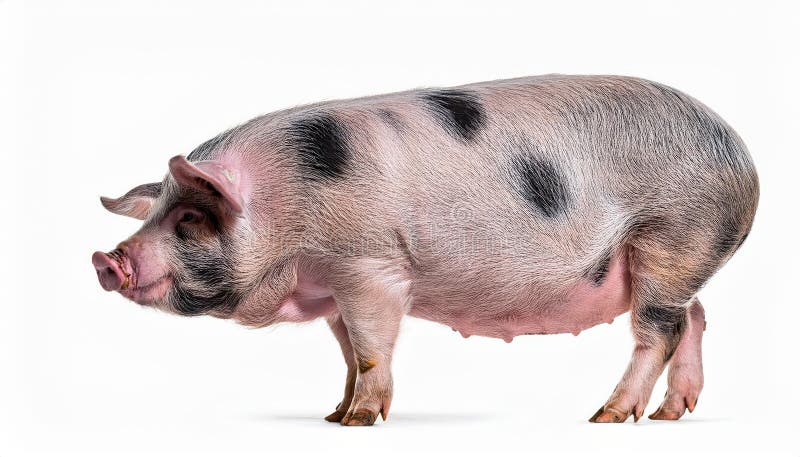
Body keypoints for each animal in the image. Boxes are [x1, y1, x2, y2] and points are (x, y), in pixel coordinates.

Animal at [92, 75, 758, 425]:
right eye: (157, 212)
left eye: (189, 218)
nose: (105, 259)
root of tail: (741, 154)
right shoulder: (334, 286)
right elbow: (346, 350)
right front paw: (333, 415)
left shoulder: (371, 264)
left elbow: (370, 348)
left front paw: (359, 422)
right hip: (672, 262)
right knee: (695, 316)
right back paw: (673, 414)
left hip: (673, 238)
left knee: (658, 332)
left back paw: (606, 417)